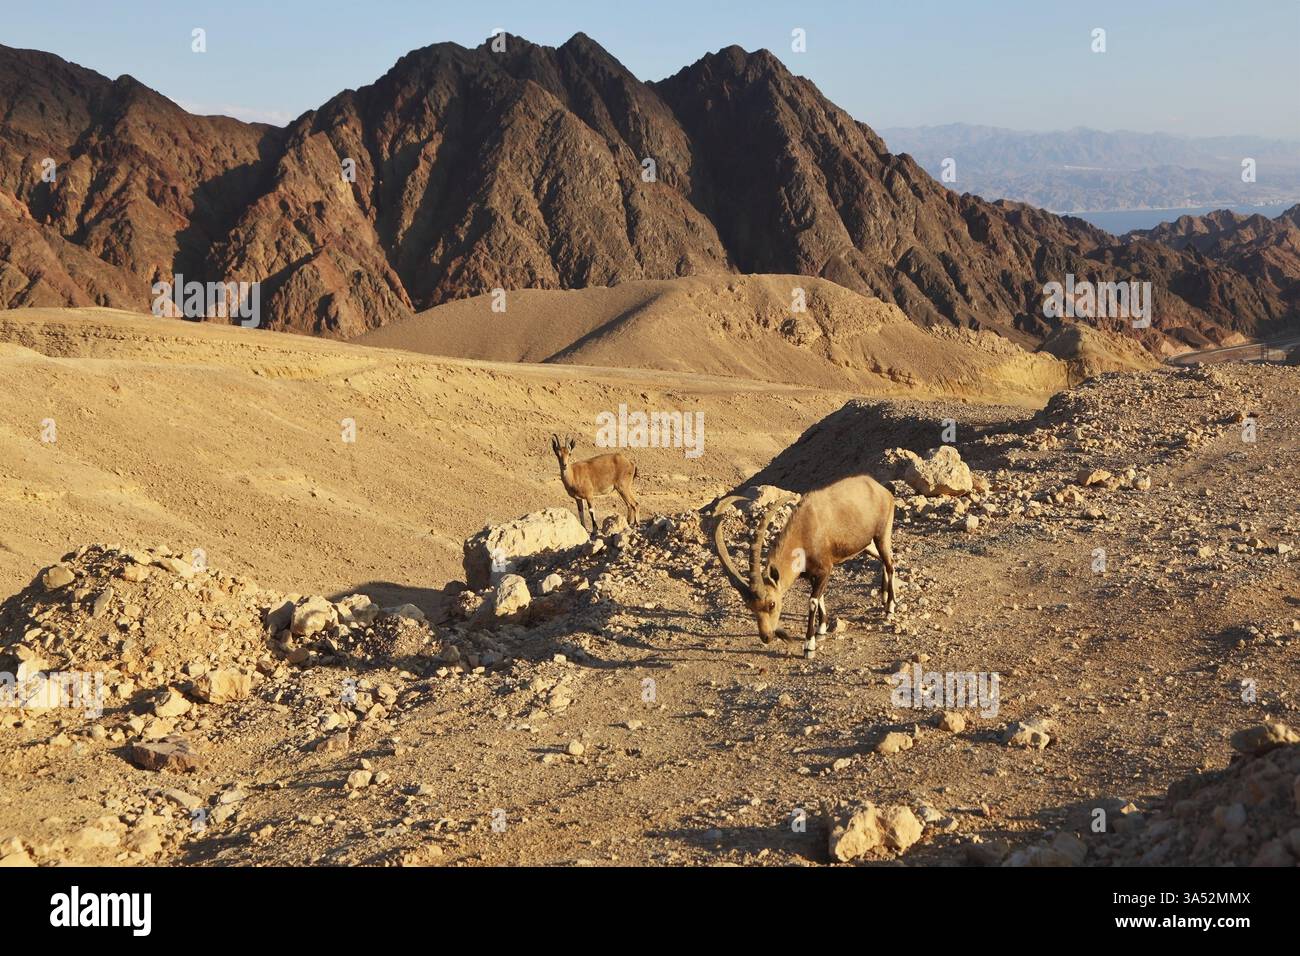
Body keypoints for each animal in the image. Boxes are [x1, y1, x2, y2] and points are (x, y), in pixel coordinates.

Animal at [711, 475, 897, 659]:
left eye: (772, 604)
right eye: (750, 607)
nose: (766, 637)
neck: (805, 533)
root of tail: (881, 489)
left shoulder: (825, 570)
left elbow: (813, 600)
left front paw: (809, 645)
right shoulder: (811, 574)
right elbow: (820, 596)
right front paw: (821, 628)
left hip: (882, 535)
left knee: (890, 564)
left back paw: (889, 608)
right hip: (867, 545)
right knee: (885, 561)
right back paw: (883, 596)